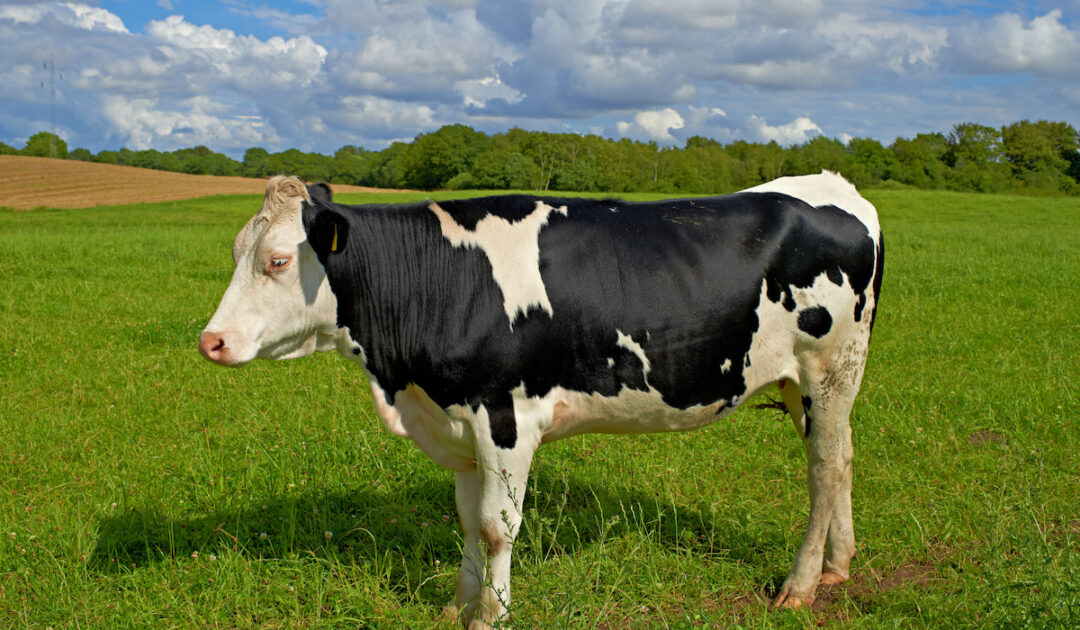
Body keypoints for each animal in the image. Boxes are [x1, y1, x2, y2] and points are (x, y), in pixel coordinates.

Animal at [199, 172, 883, 627]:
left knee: (824, 470)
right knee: (845, 457)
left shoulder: (506, 417)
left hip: (829, 368)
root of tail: (837, 186)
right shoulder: (459, 423)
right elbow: (467, 521)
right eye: (234, 253)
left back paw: (800, 585)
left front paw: (490, 615)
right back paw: (839, 564)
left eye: (277, 261)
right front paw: (456, 604)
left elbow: (497, 528)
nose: (211, 341)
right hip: (811, 386)